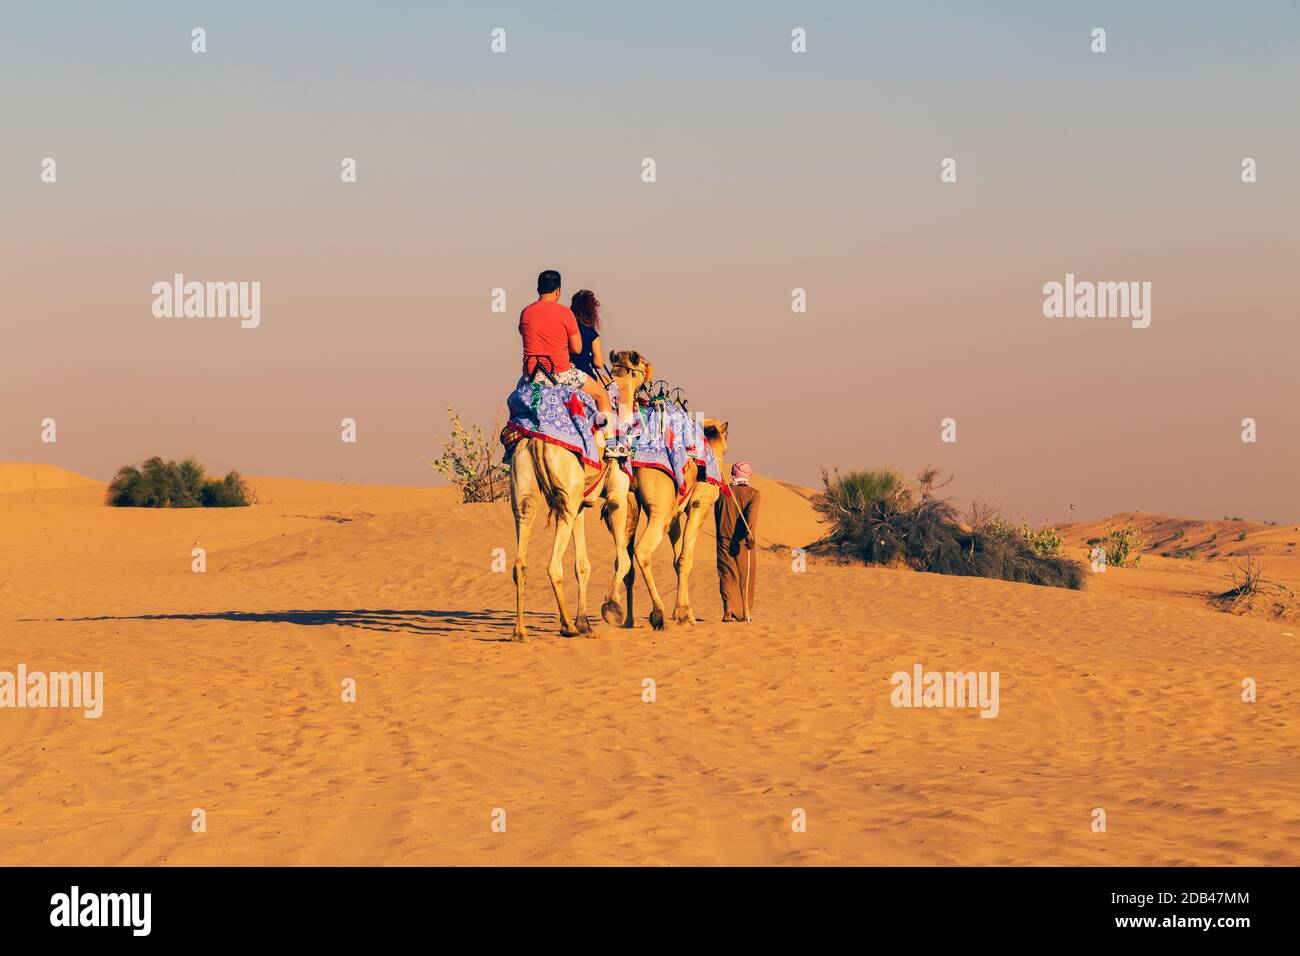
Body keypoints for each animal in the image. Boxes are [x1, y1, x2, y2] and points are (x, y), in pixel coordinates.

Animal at [508, 351, 652, 642]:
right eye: (642, 363)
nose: (648, 385)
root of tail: (537, 439)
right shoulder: (617, 489)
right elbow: (623, 558)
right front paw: (611, 607)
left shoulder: (582, 504)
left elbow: (582, 565)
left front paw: (585, 621)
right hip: (565, 494)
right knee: (553, 565)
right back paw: (567, 626)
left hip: (527, 489)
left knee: (520, 559)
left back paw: (521, 631)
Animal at [620, 418, 728, 630]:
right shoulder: (699, 504)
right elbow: (686, 559)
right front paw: (685, 614)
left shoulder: (675, 514)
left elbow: (677, 560)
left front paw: (682, 611)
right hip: (659, 512)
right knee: (642, 550)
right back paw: (657, 613)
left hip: (631, 503)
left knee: (624, 558)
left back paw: (623, 617)